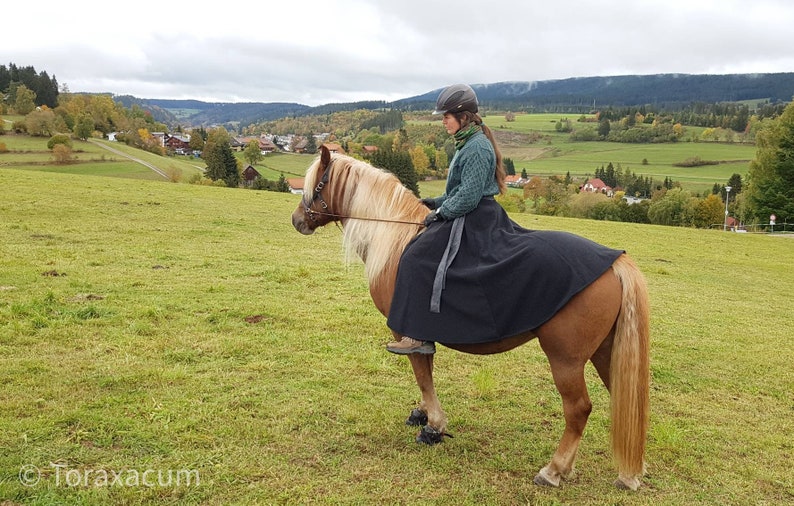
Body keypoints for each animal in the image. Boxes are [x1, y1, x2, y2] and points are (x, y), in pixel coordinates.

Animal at [291, 146, 650, 490]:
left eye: (315, 184)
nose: (297, 219)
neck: (396, 240)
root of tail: (613, 262)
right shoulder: (421, 333)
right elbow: (426, 372)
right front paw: (424, 414)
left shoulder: (405, 331)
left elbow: (422, 374)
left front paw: (434, 425)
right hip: (605, 351)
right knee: (624, 401)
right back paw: (630, 472)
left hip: (566, 360)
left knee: (578, 409)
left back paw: (554, 470)